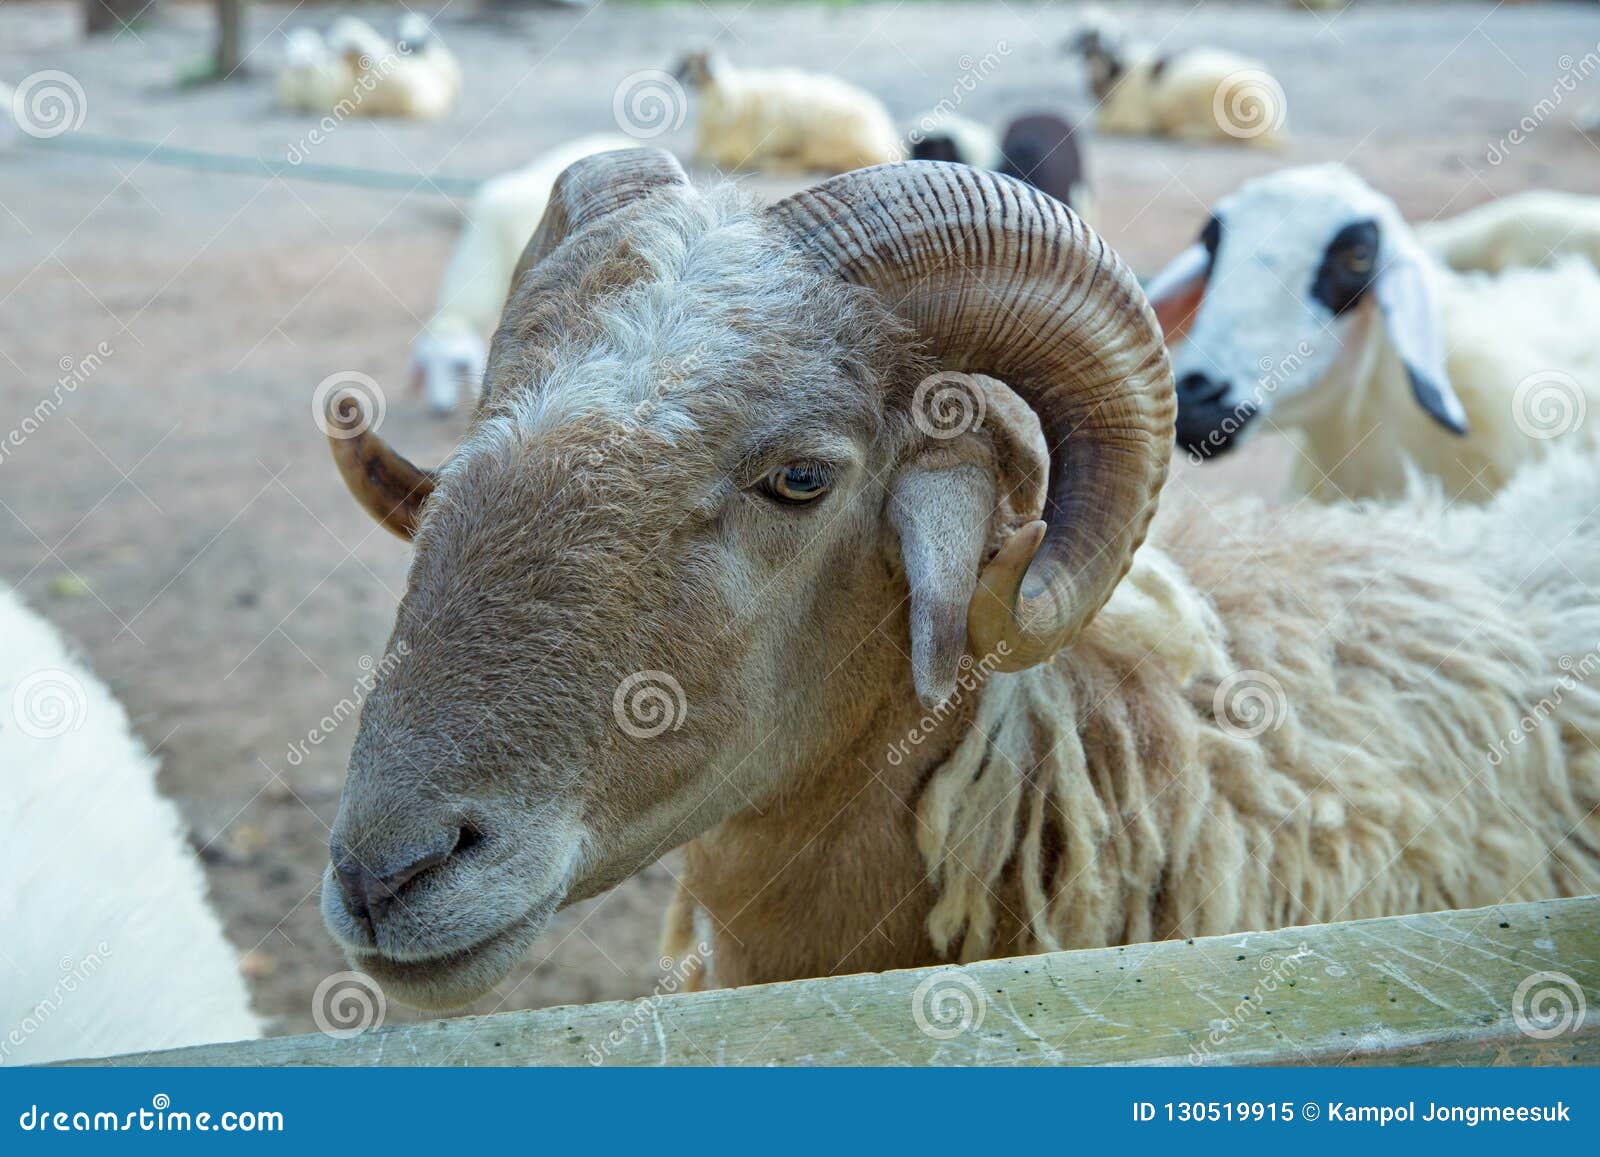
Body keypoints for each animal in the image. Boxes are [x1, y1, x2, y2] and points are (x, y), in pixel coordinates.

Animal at [672, 50, 903, 175]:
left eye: (699, 65)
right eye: (686, 65)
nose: (689, 80)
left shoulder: (737, 146)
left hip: (822, 140)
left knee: (816, 161)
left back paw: (772, 164)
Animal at [1066, 10, 1289, 148]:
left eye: (1117, 37)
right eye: (1089, 36)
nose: (1108, 54)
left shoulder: (1129, 118)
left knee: (1228, 134)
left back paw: (1185, 132)